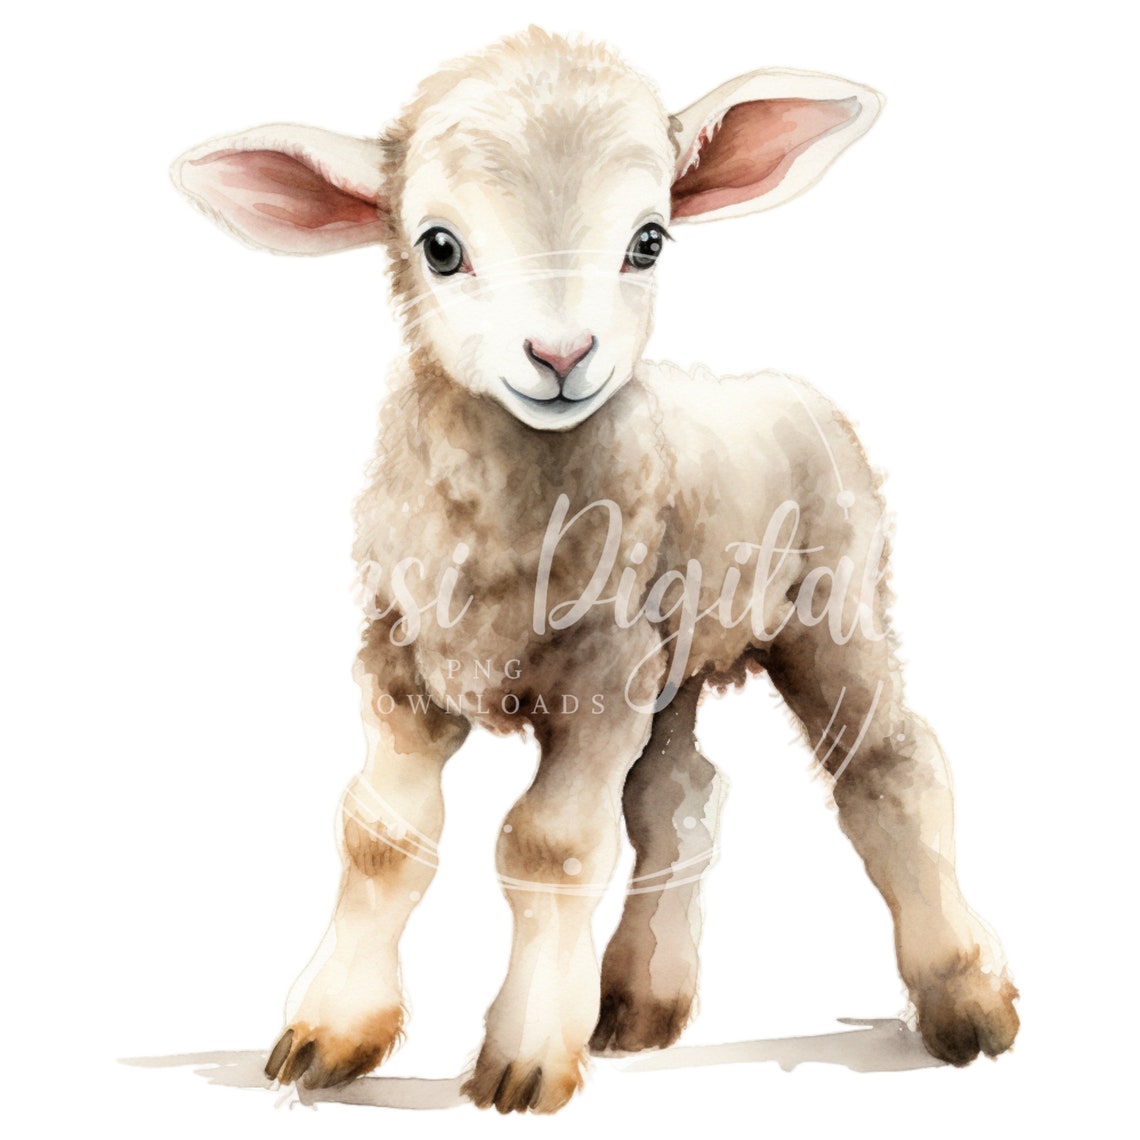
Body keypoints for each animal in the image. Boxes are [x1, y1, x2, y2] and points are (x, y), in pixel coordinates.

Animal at [172, 26, 1019, 1115]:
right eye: (439, 246)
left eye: (648, 240)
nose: (563, 353)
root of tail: (786, 386)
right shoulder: (404, 665)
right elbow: (379, 835)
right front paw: (328, 1032)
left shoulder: (597, 676)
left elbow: (549, 844)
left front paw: (526, 1055)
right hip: (672, 653)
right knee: (680, 797)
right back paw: (639, 1002)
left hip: (830, 613)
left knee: (891, 767)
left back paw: (966, 999)